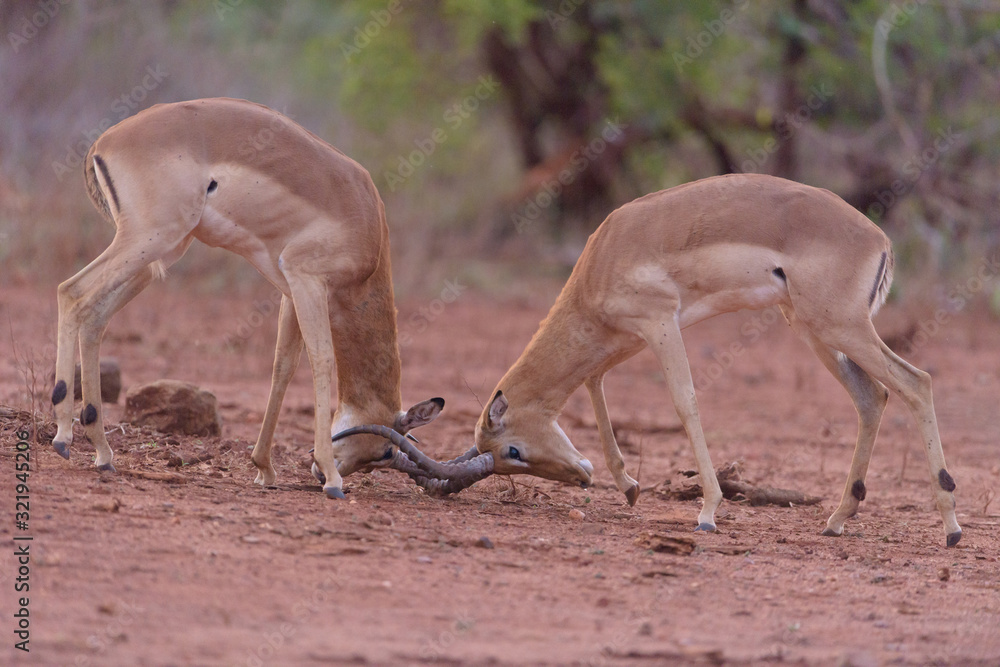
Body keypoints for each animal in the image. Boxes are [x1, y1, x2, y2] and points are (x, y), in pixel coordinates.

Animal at [51, 97, 452, 498]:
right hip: (151, 241)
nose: (322, 474)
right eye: (386, 451)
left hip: (158, 257)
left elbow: (283, 366)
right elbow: (321, 360)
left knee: (95, 316)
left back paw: (103, 452)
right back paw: (62, 437)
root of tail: (104, 141)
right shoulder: (308, 280)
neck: (364, 220)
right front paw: (332, 480)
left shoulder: (290, 291)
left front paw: (264, 468)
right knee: (71, 292)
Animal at [345, 174, 963, 547]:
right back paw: (837, 519)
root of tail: (879, 238)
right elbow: (593, 383)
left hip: (839, 327)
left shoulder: (661, 323)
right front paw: (628, 485)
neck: (602, 255)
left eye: (513, 450)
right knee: (873, 396)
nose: (580, 477)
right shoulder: (625, 336)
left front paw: (708, 511)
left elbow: (684, 402)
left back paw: (952, 525)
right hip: (813, 330)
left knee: (918, 381)